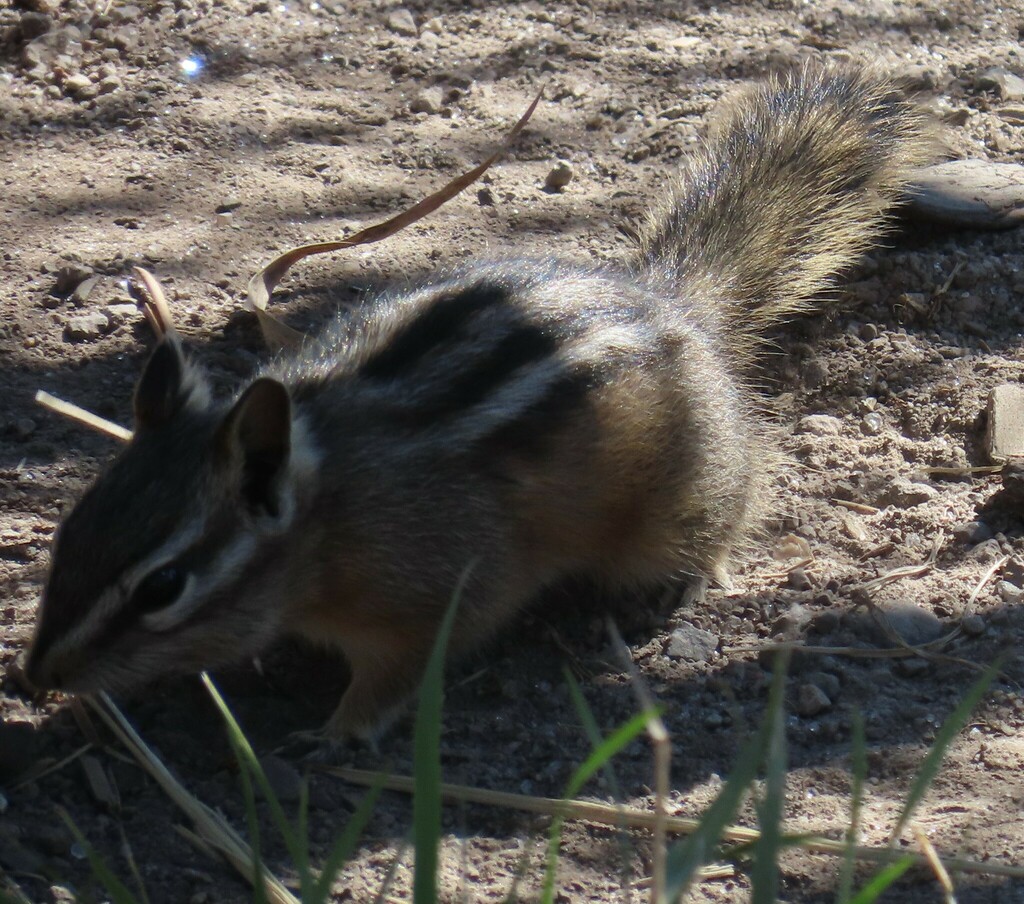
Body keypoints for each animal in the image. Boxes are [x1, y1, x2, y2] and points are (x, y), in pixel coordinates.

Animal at [26, 67, 932, 739]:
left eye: (162, 587)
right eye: (67, 534)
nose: (36, 676)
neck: (329, 519)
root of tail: (674, 299)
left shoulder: (442, 594)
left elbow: (403, 676)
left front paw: (336, 730)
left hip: (680, 504)